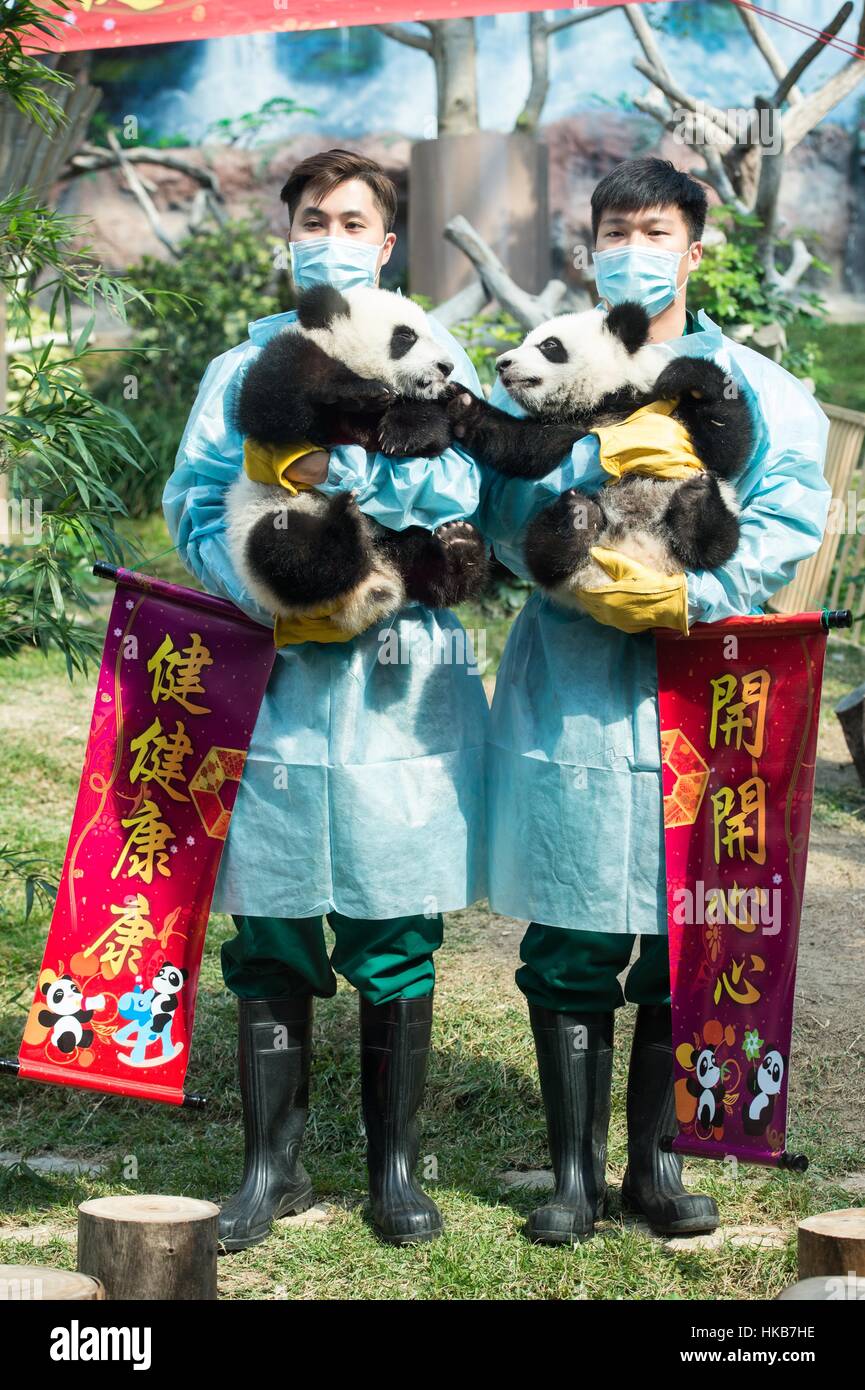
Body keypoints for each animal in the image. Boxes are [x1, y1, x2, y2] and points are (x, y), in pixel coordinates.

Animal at [226, 284, 488, 636]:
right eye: (405, 335)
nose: (446, 367)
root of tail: (376, 579)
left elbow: (434, 428)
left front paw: (401, 433)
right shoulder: (296, 355)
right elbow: (266, 403)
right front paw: (358, 392)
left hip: (403, 532)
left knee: (429, 576)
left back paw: (461, 547)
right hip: (264, 516)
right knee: (286, 551)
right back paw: (344, 524)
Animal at [446, 301, 754, 608]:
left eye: (549, 345)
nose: (502, 364)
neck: (606, 400)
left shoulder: (659, 404)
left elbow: (727, 448)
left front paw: (686, 375)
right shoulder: (572, 428)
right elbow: (525, 447)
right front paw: (462, 403)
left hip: (714, 518)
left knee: (717, 544)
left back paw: (696, 506)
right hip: (549, 537)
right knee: (542, 556)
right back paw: (577, 519)